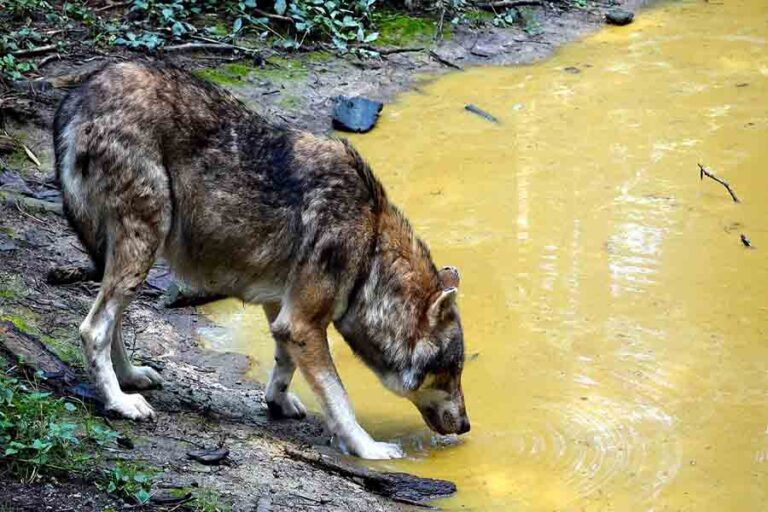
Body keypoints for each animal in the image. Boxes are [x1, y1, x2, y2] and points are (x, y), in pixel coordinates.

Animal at [53, 61, 470, 459]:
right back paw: (120, 403)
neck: (371, 246)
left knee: (113, 324)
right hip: (143, 247)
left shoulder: (283, 312)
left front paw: (277, 402)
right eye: (452, 370)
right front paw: (367, 448)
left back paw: (132, 377)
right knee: (93, 329)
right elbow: (339, 397)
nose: (466, 425)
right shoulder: (303, 323)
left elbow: (284, 364)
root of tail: (81, 95)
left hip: (128, 258)